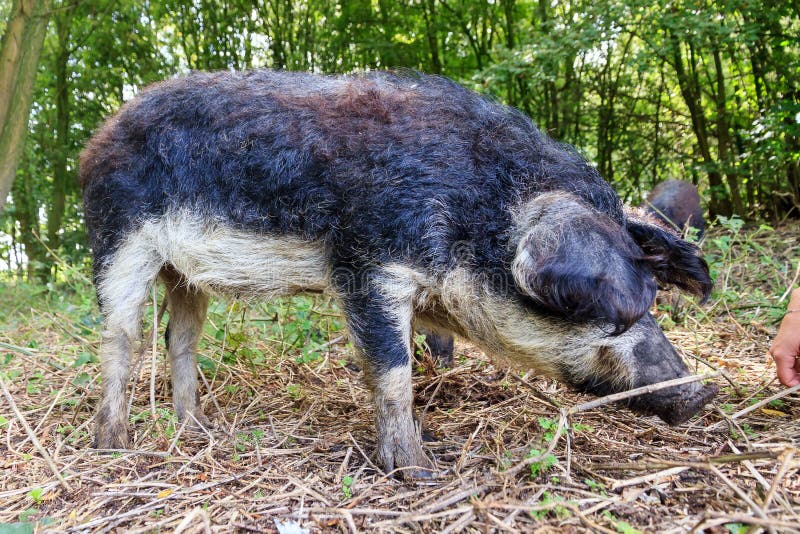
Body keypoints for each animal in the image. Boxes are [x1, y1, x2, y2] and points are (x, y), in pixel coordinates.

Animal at [79, 70, 717, 475]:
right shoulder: (365, 264)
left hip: (183, 273)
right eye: (611, 314)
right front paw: (420, 470)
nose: (702, 392)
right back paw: (115, 447)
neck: (475, 217)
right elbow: (391, 366)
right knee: (121, 337)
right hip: (118, 239)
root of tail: (96, 140)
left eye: (653, 300)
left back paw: (197, 432)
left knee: (180, 336)